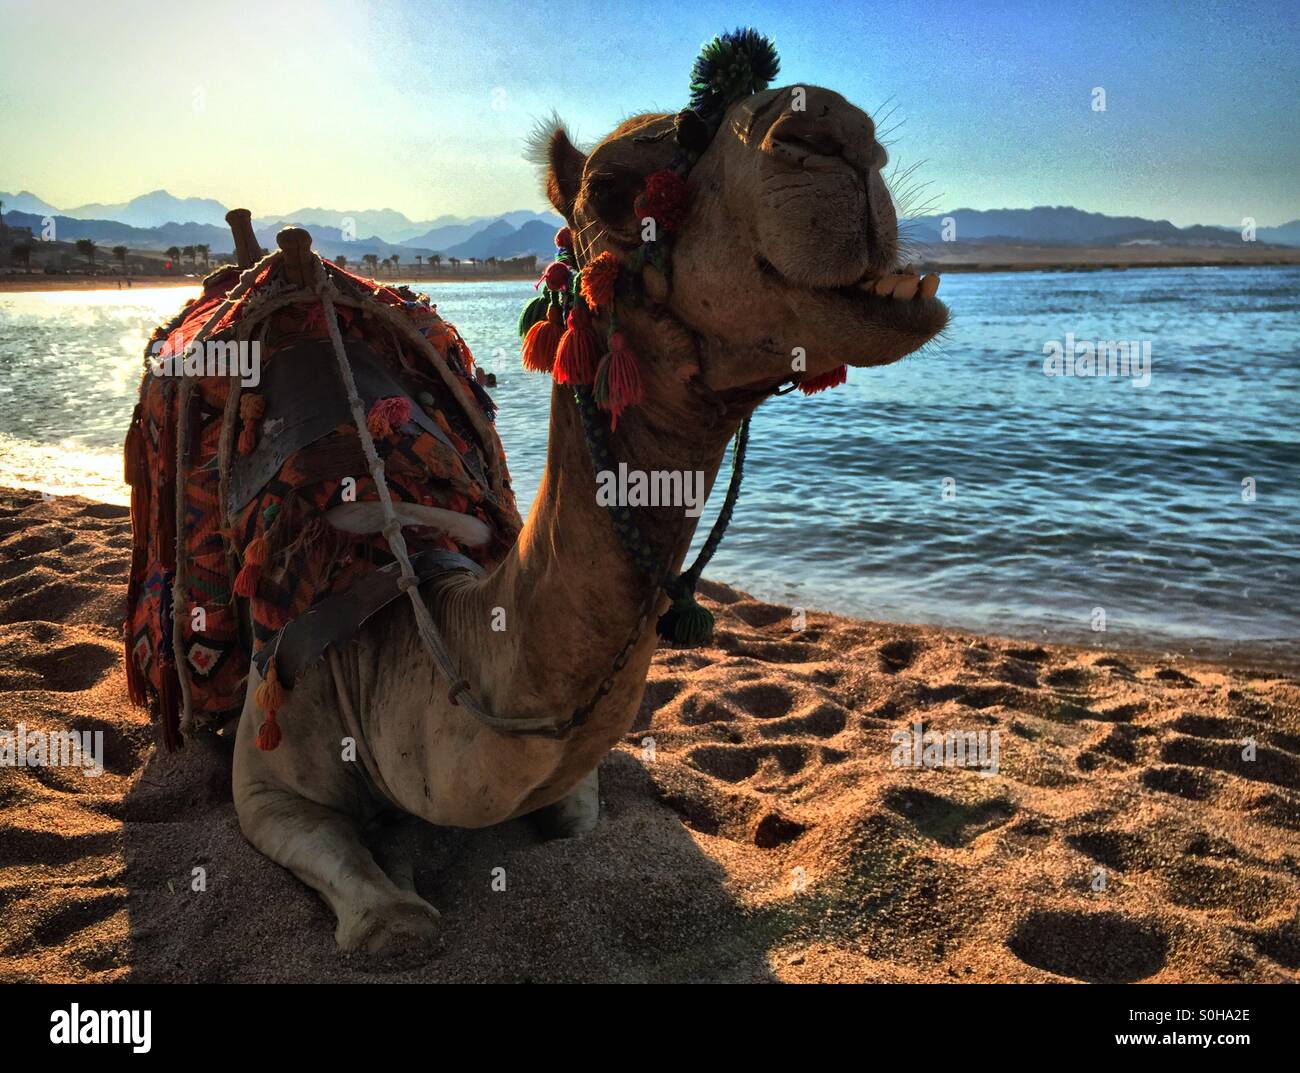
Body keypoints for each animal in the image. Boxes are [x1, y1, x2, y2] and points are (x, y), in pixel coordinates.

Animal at [138, 38, 949, 954]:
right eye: (612, 190)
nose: (835, 130)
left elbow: (577, 823)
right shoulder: (269, 769)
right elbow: (390, 920)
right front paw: (399, 888)